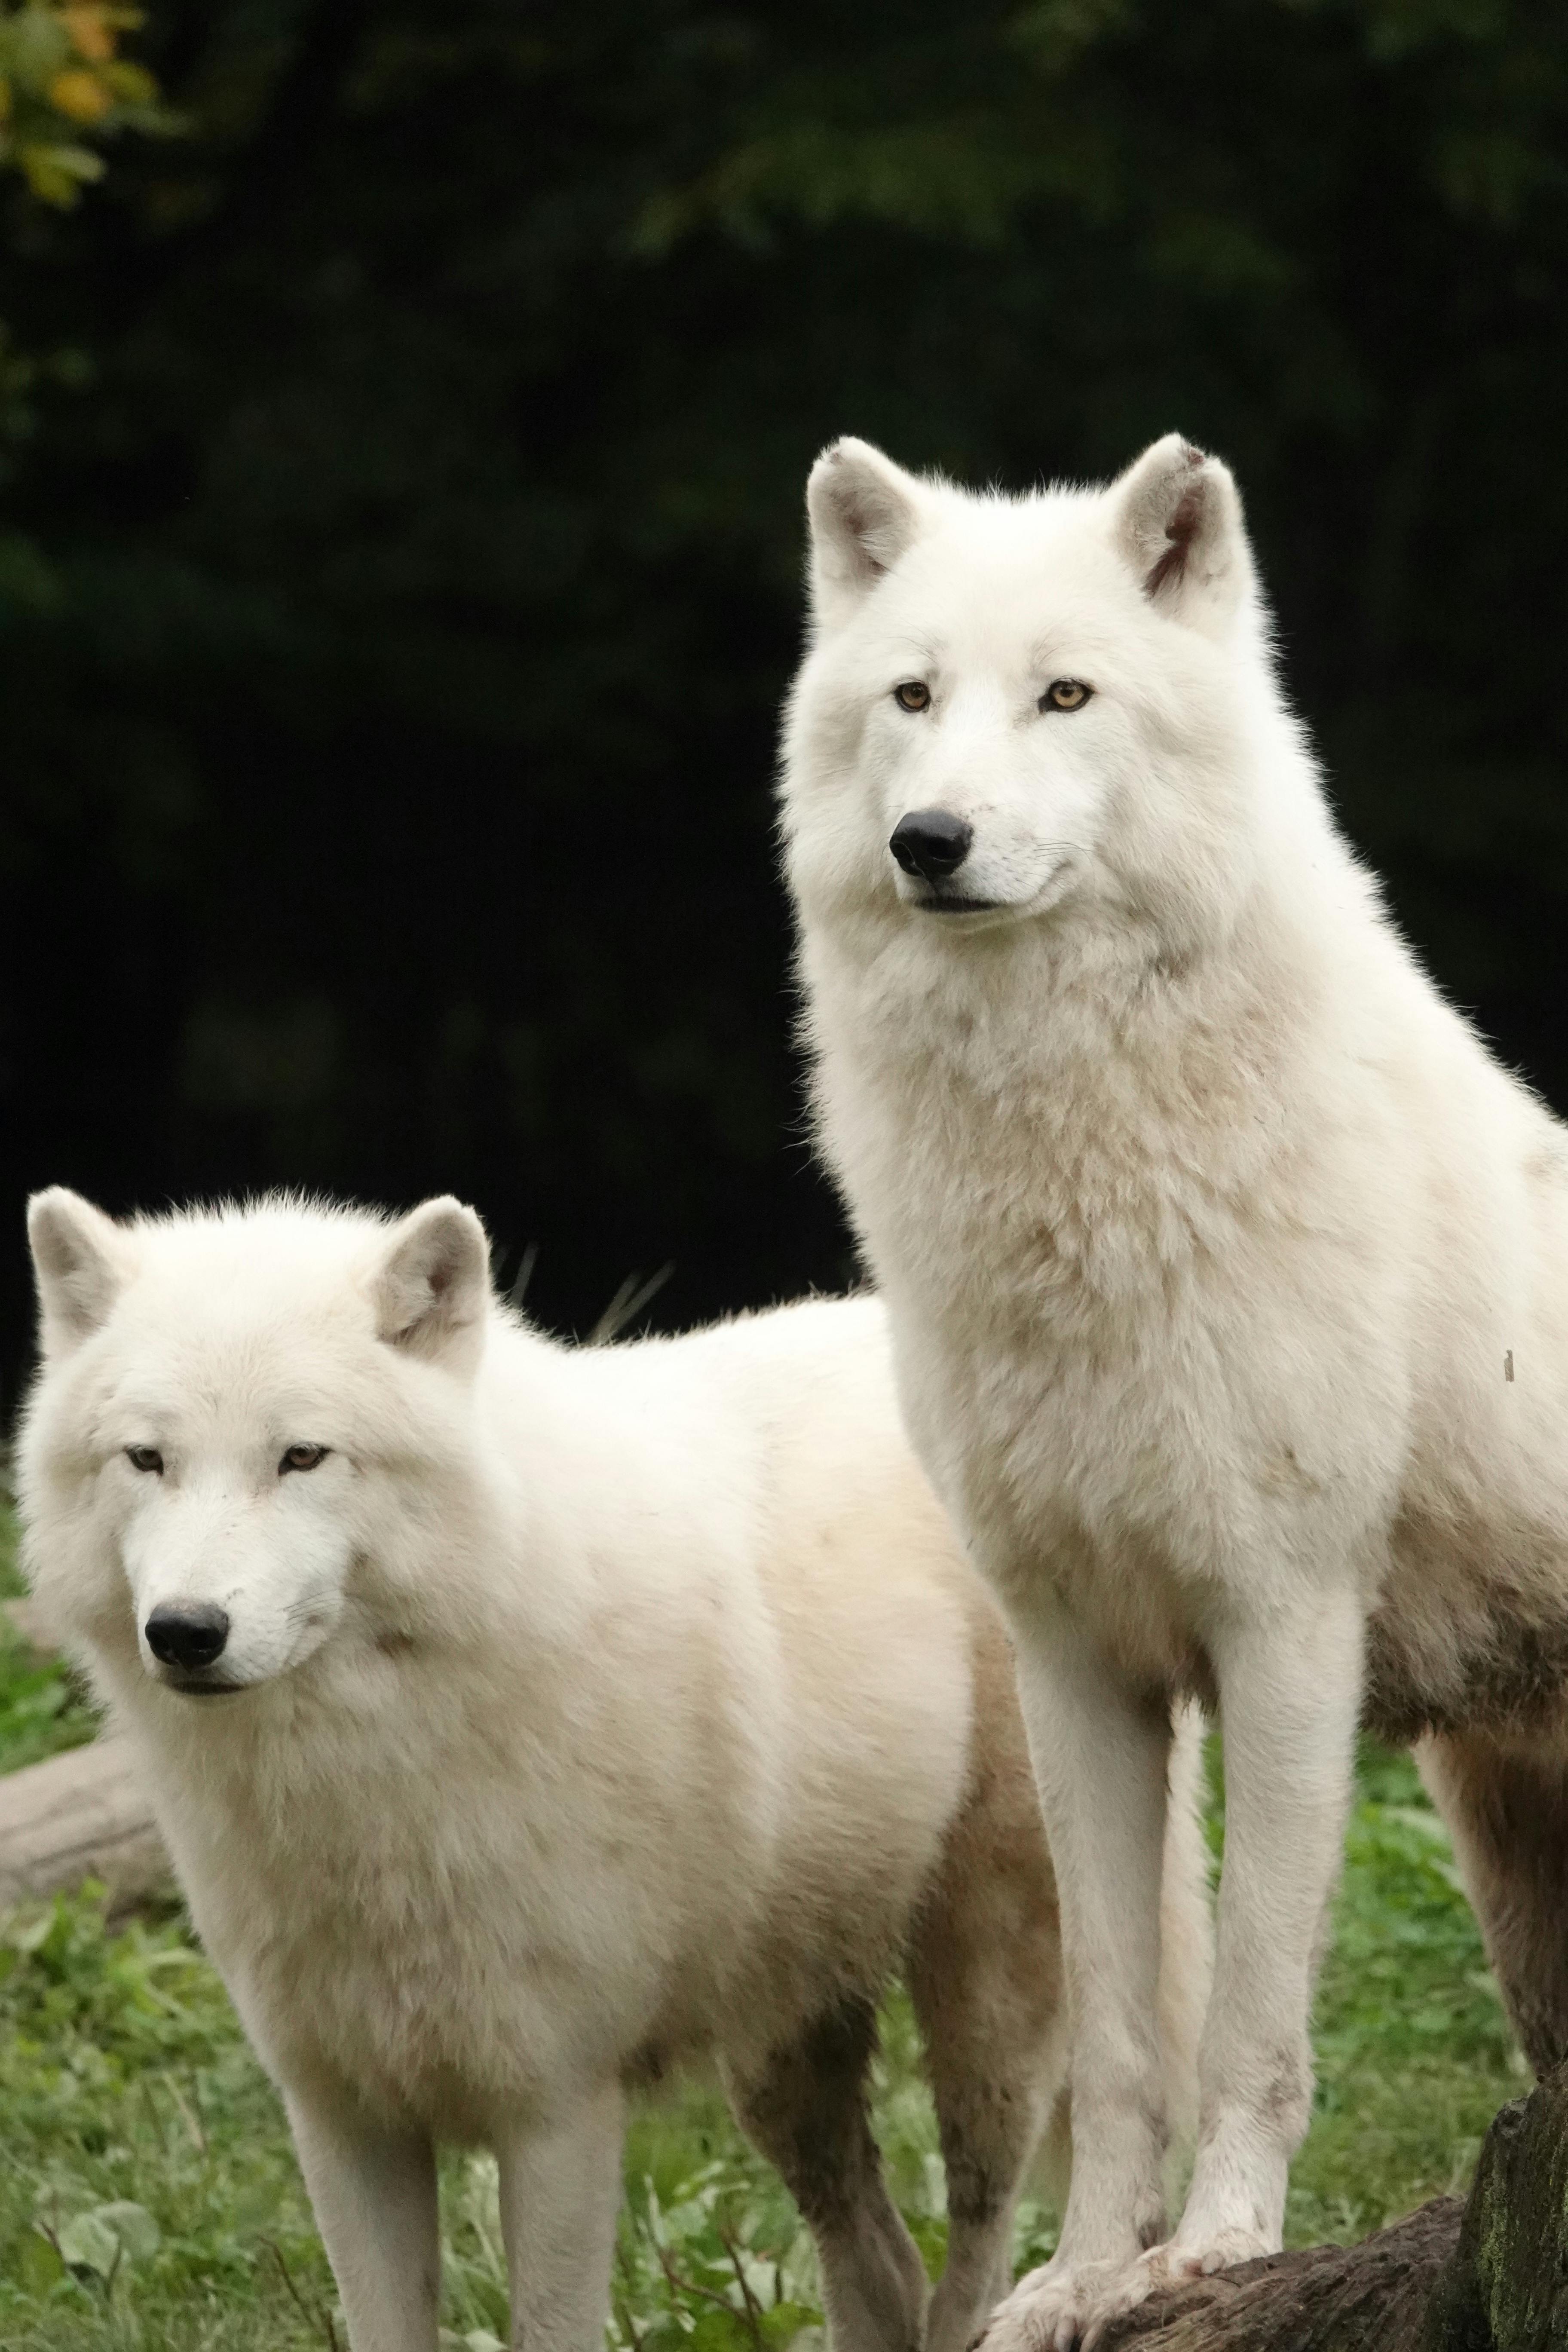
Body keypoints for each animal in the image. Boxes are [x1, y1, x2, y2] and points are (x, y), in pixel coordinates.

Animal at [18, 1189, 1210, 2352]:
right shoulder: (344, 2117)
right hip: (780, 2060)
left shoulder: (558, 2111)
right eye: (147, 1459)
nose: (186, 1631)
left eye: (301, 1456)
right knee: (879, 2262)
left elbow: (553, 2326)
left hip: (988, 2003)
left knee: (975, 2240)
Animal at [780, 430, 1568, 2347]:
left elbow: (1254, 2014)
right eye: (913, 697)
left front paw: (1213, 2249)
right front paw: (1081, 2278)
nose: (930, 841)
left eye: (1066, 695)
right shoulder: (1078, 1660)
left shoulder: (1282, 1628)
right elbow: (1123, 2038)